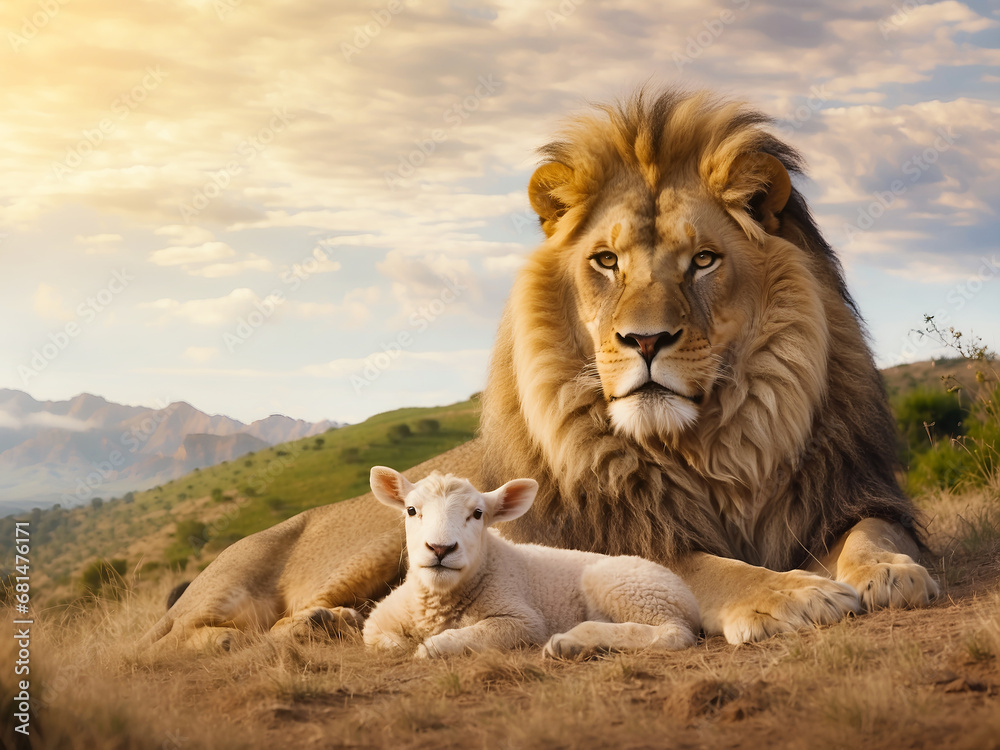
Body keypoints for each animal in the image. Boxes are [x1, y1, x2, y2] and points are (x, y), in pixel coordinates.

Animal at [363, 466, 701, 659]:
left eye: (478, 514)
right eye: (410, 510)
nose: (440, 548)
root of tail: (686, 593)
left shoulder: (523, 621)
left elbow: (475, 634)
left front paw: (432, 648)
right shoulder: (379, 617)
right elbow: (378, 638)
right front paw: (402, 645)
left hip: (630, 588)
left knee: (673, 633)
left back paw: (569, 641)